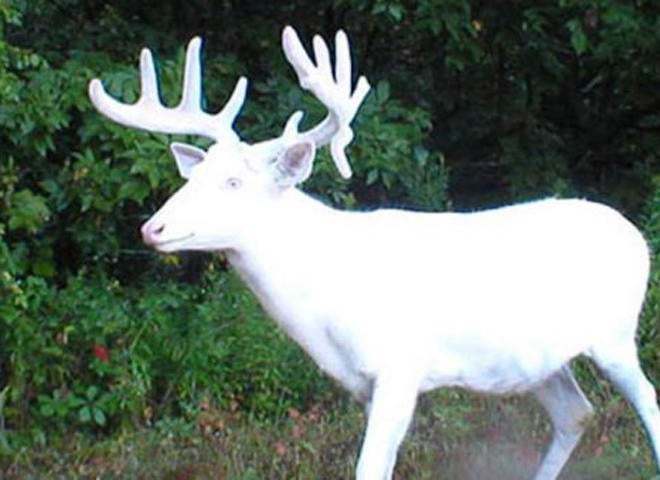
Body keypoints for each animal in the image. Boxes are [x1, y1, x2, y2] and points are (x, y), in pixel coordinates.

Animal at [88, 26, 660, 480]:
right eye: (195, 175)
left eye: (233, 182)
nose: (153, 228)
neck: (323, 307)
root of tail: (635, 234)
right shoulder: (362, 385)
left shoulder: (401, 368)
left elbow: (368, 468)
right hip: (539, 360)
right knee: (576, 412)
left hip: (615, 333)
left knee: (647, 401)